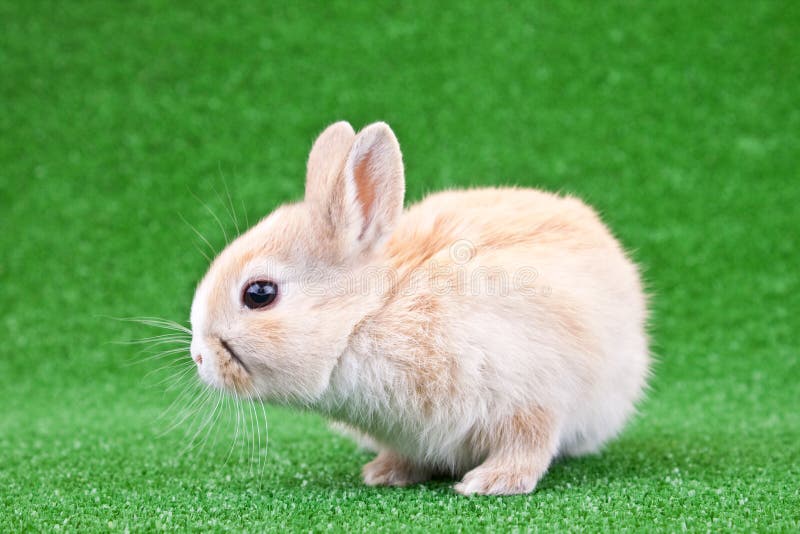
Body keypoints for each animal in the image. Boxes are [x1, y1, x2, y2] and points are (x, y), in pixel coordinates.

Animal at [189, 121, 650, 495]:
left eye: (259, 293)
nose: (198, 356)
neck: (371, 313)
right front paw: (384, 474)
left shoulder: (533, 397)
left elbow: (528, 445)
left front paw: (491, 483)